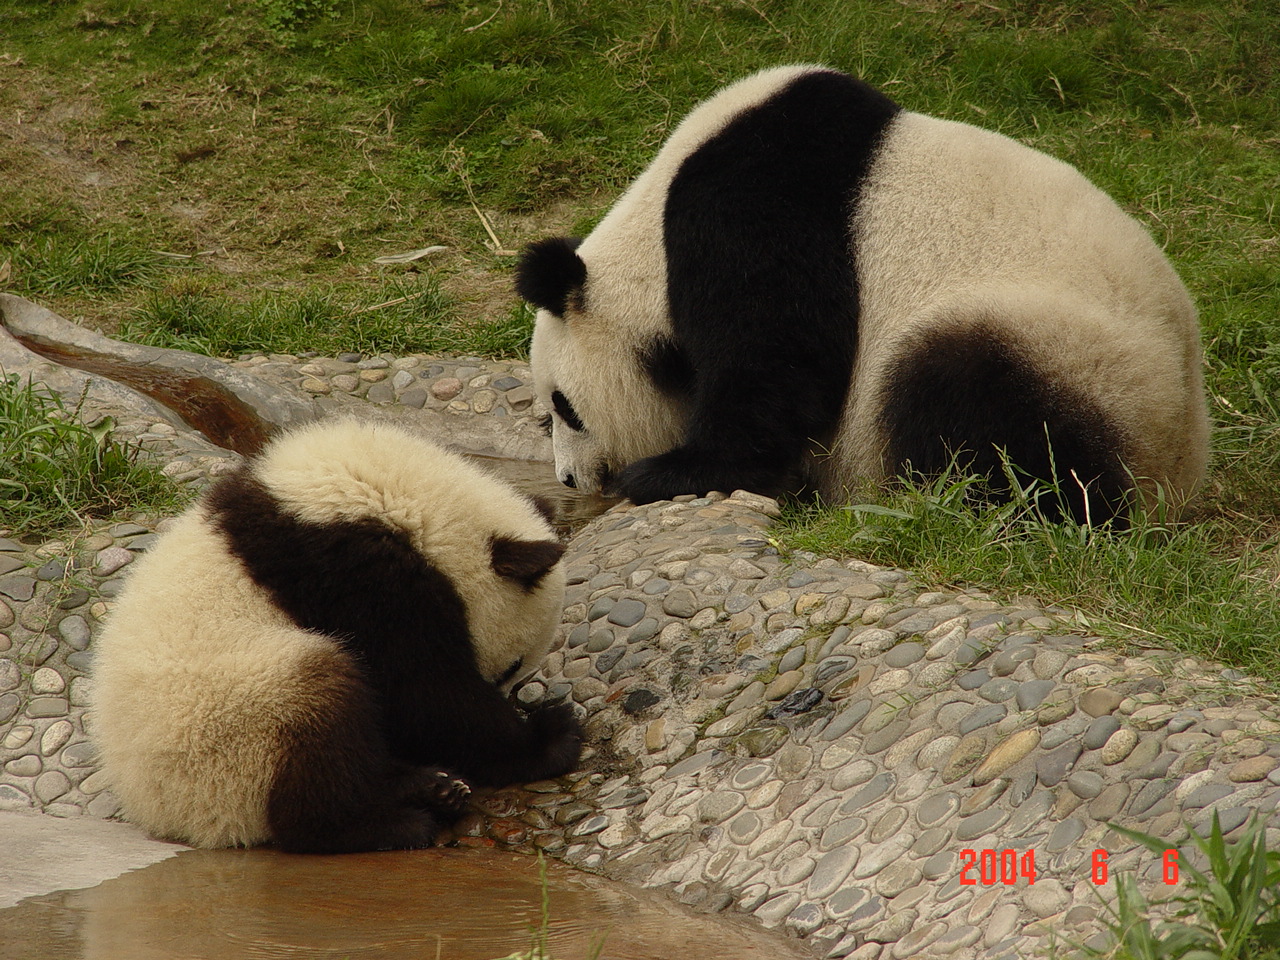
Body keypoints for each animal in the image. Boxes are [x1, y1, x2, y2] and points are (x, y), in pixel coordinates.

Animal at [89, 419, 581, 854]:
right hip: (234, 728)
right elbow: (424, 694)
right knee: (321, 718)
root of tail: (169, 817)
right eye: (512, 664)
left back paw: (429, 789)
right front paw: (548, 736)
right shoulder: (357, 574)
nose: (509, 690)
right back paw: (389, 821)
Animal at [516, 65, 1209, 524]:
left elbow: (781, 367)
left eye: (565, 408)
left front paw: (675, 472)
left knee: (975, 399)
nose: (569, 477)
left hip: (1073, 354)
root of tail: (1176, 475)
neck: (650, 240)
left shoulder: (757, 215)